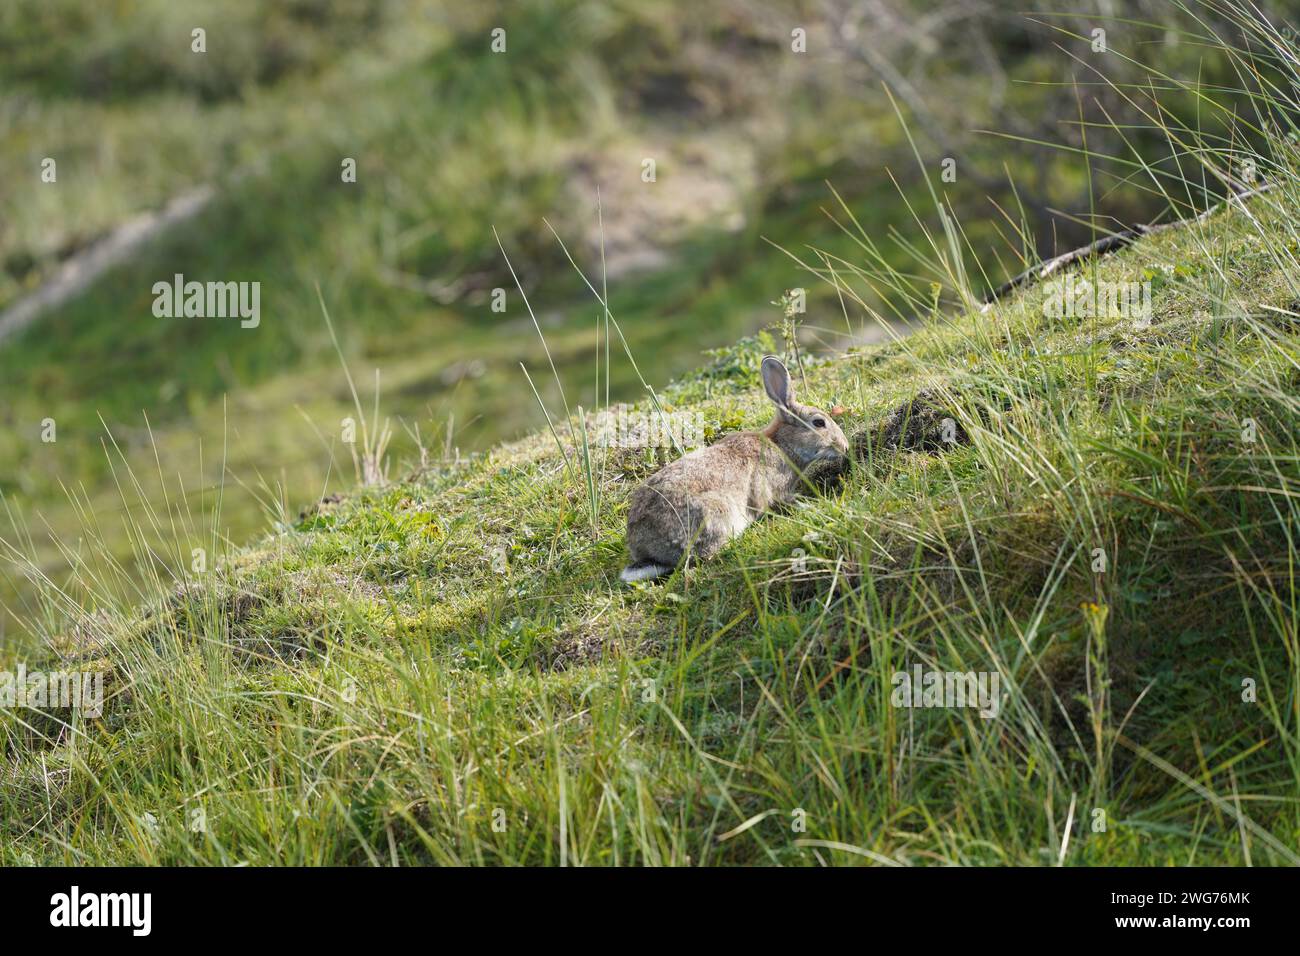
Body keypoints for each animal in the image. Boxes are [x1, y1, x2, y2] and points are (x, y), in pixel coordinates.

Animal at [620, 356, 849, 582]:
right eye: (819, 422)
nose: (845, 446)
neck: (780, 444)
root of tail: (650, 550)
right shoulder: (773, 489)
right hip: (714, 514)